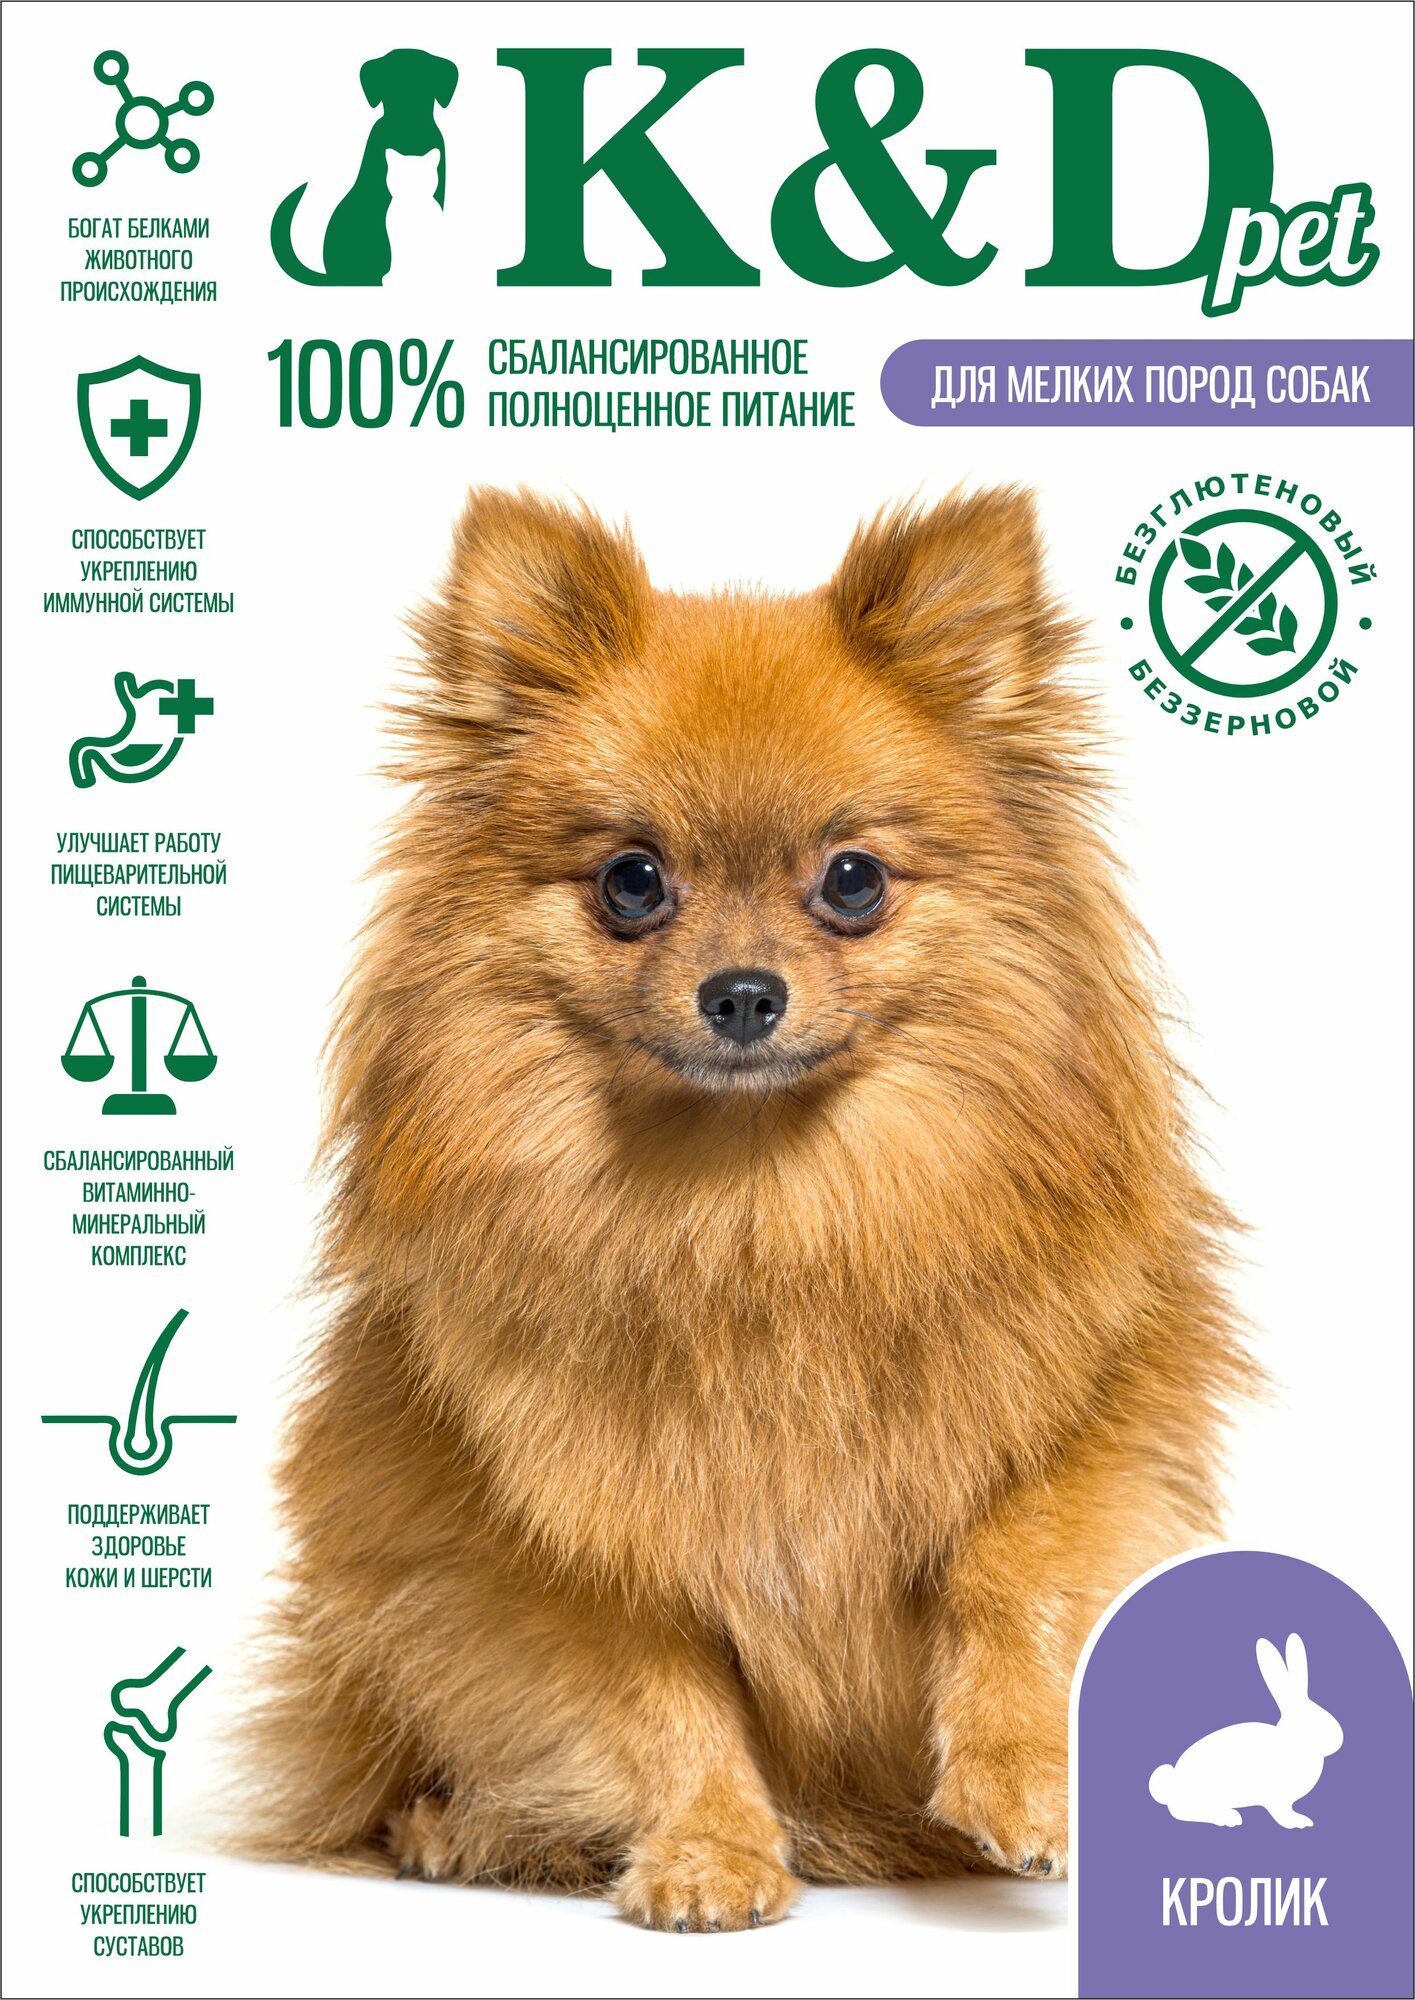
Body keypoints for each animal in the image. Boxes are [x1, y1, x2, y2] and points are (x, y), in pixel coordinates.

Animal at [1149, 1633, 1343, 1829]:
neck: (1294, 1741)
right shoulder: (1277, 1798)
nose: (1338, 1740)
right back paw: (1228, 1817)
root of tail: (1172, 1786)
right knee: (1183, 1812)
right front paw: (1298, 1822)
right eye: (1314, 1722)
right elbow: (1282, 1812)